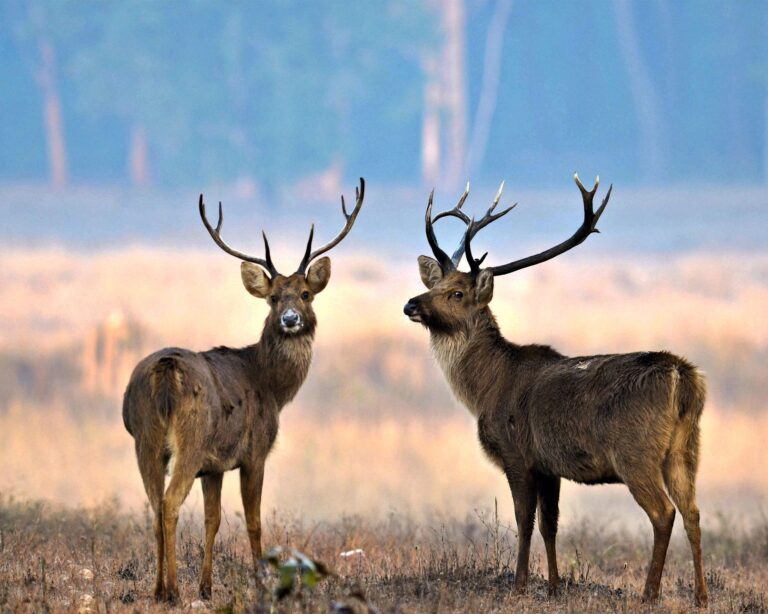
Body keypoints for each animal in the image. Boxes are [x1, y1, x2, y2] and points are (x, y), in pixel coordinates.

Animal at [122, 178, 365, 603]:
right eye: (272, 297)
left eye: (306, 293)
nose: (290, 319)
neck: (272, 386)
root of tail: (166, 372)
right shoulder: (254, 451)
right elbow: (254, 522)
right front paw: (260, 582)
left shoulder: (214, 465)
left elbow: (213, 520)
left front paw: (206, 587)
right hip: (192, 437)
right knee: (169, 503)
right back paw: (172, 590)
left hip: (145, 437)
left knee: (154, 506)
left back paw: (157, 589)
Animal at [403, 175, 707, 607]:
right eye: (436, 284)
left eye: (457, 293)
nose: (411, 304)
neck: (485, 389)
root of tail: (683, 377)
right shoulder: (550, 466)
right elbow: (551, 525)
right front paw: (553, 586)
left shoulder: (517, 453)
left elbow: (523, 521)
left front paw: (519, 587)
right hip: (686, 448)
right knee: (693, 511)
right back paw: (701, 596)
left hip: (635, 452)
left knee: (664, 513)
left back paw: (649, 594)